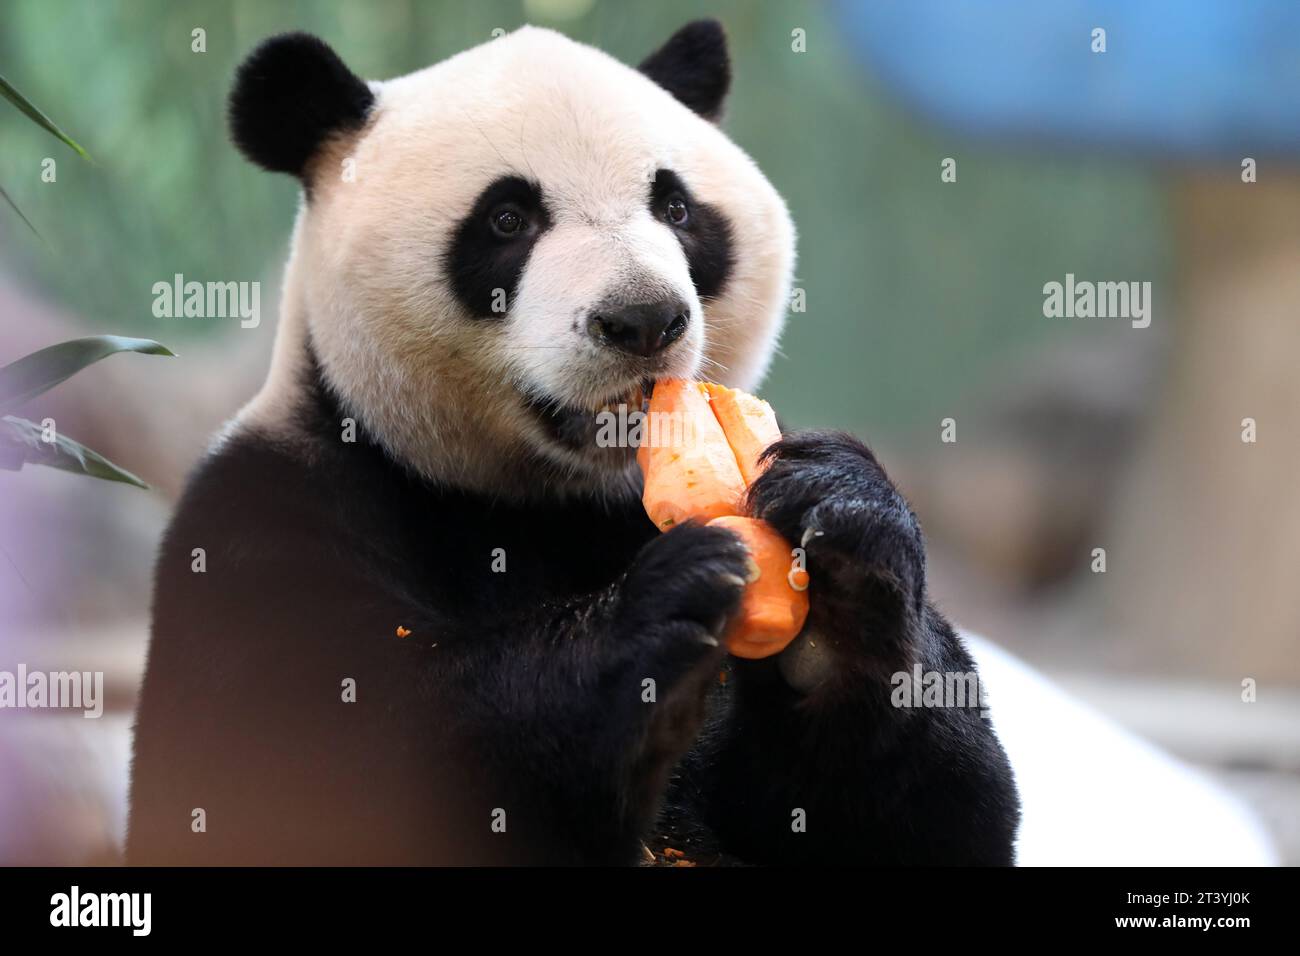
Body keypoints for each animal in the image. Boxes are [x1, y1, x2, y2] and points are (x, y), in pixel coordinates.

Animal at [127, 21, 1020, 866]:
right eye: (508, 218)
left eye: (676, 208)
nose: (644, 319)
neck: (542, 501)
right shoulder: (267, 519)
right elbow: (330, 768)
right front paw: (661, 608)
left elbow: (924, 819)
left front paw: (841, 554)